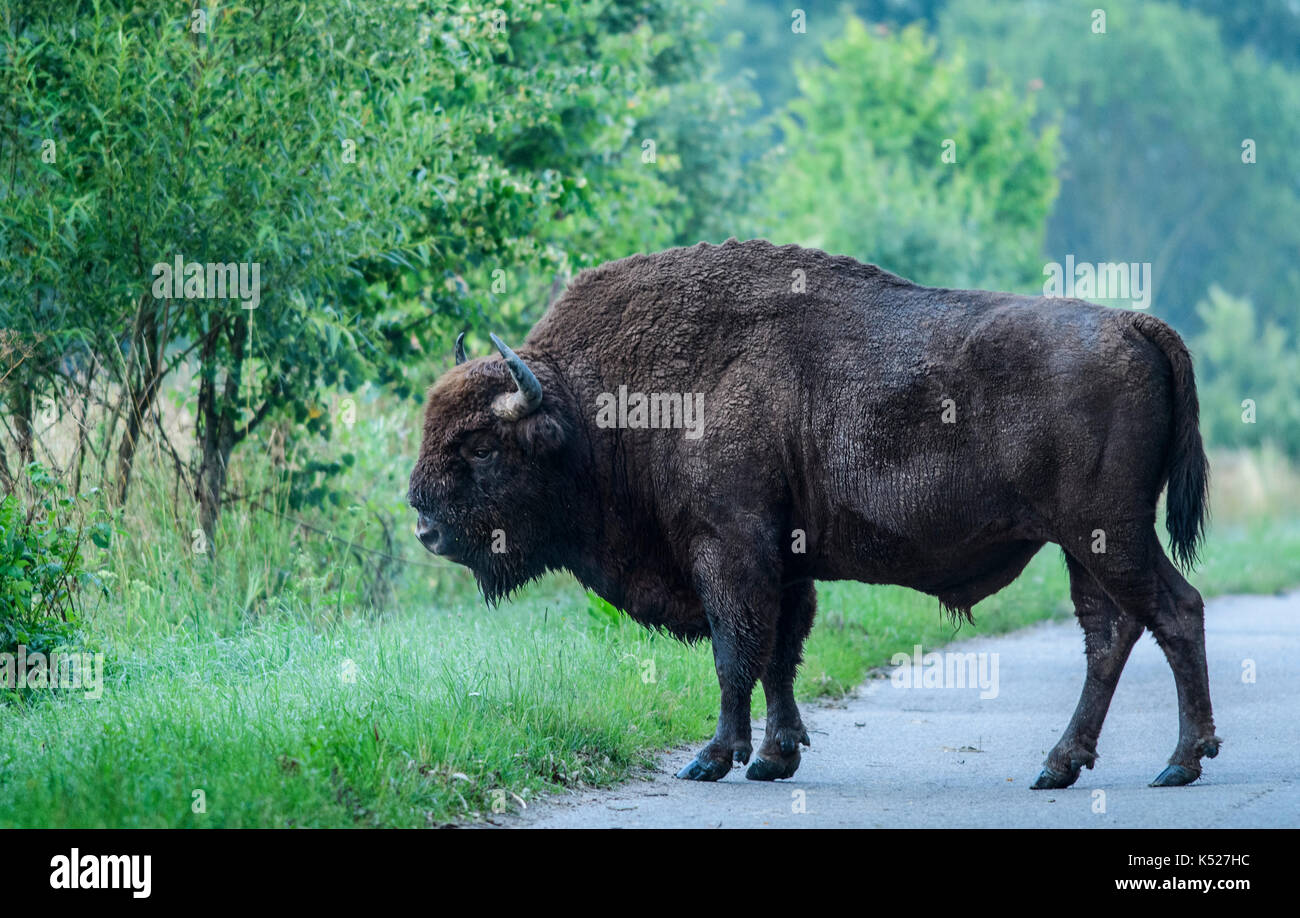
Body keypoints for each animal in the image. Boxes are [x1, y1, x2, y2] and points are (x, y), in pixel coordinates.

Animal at [408, 239, 1218, 788]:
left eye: (480, 445)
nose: (425, 524)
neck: (594, 406)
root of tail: (1133, 324)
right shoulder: (785, 563)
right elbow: (779, 656)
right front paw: (774, 757)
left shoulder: (728, 549)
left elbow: (737, 652)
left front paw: (713, 759)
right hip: (1085, 546)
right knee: (1110, 636)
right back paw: (1061, 765)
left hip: (1106, 536)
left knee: (1174, 612)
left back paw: (1182, 761)